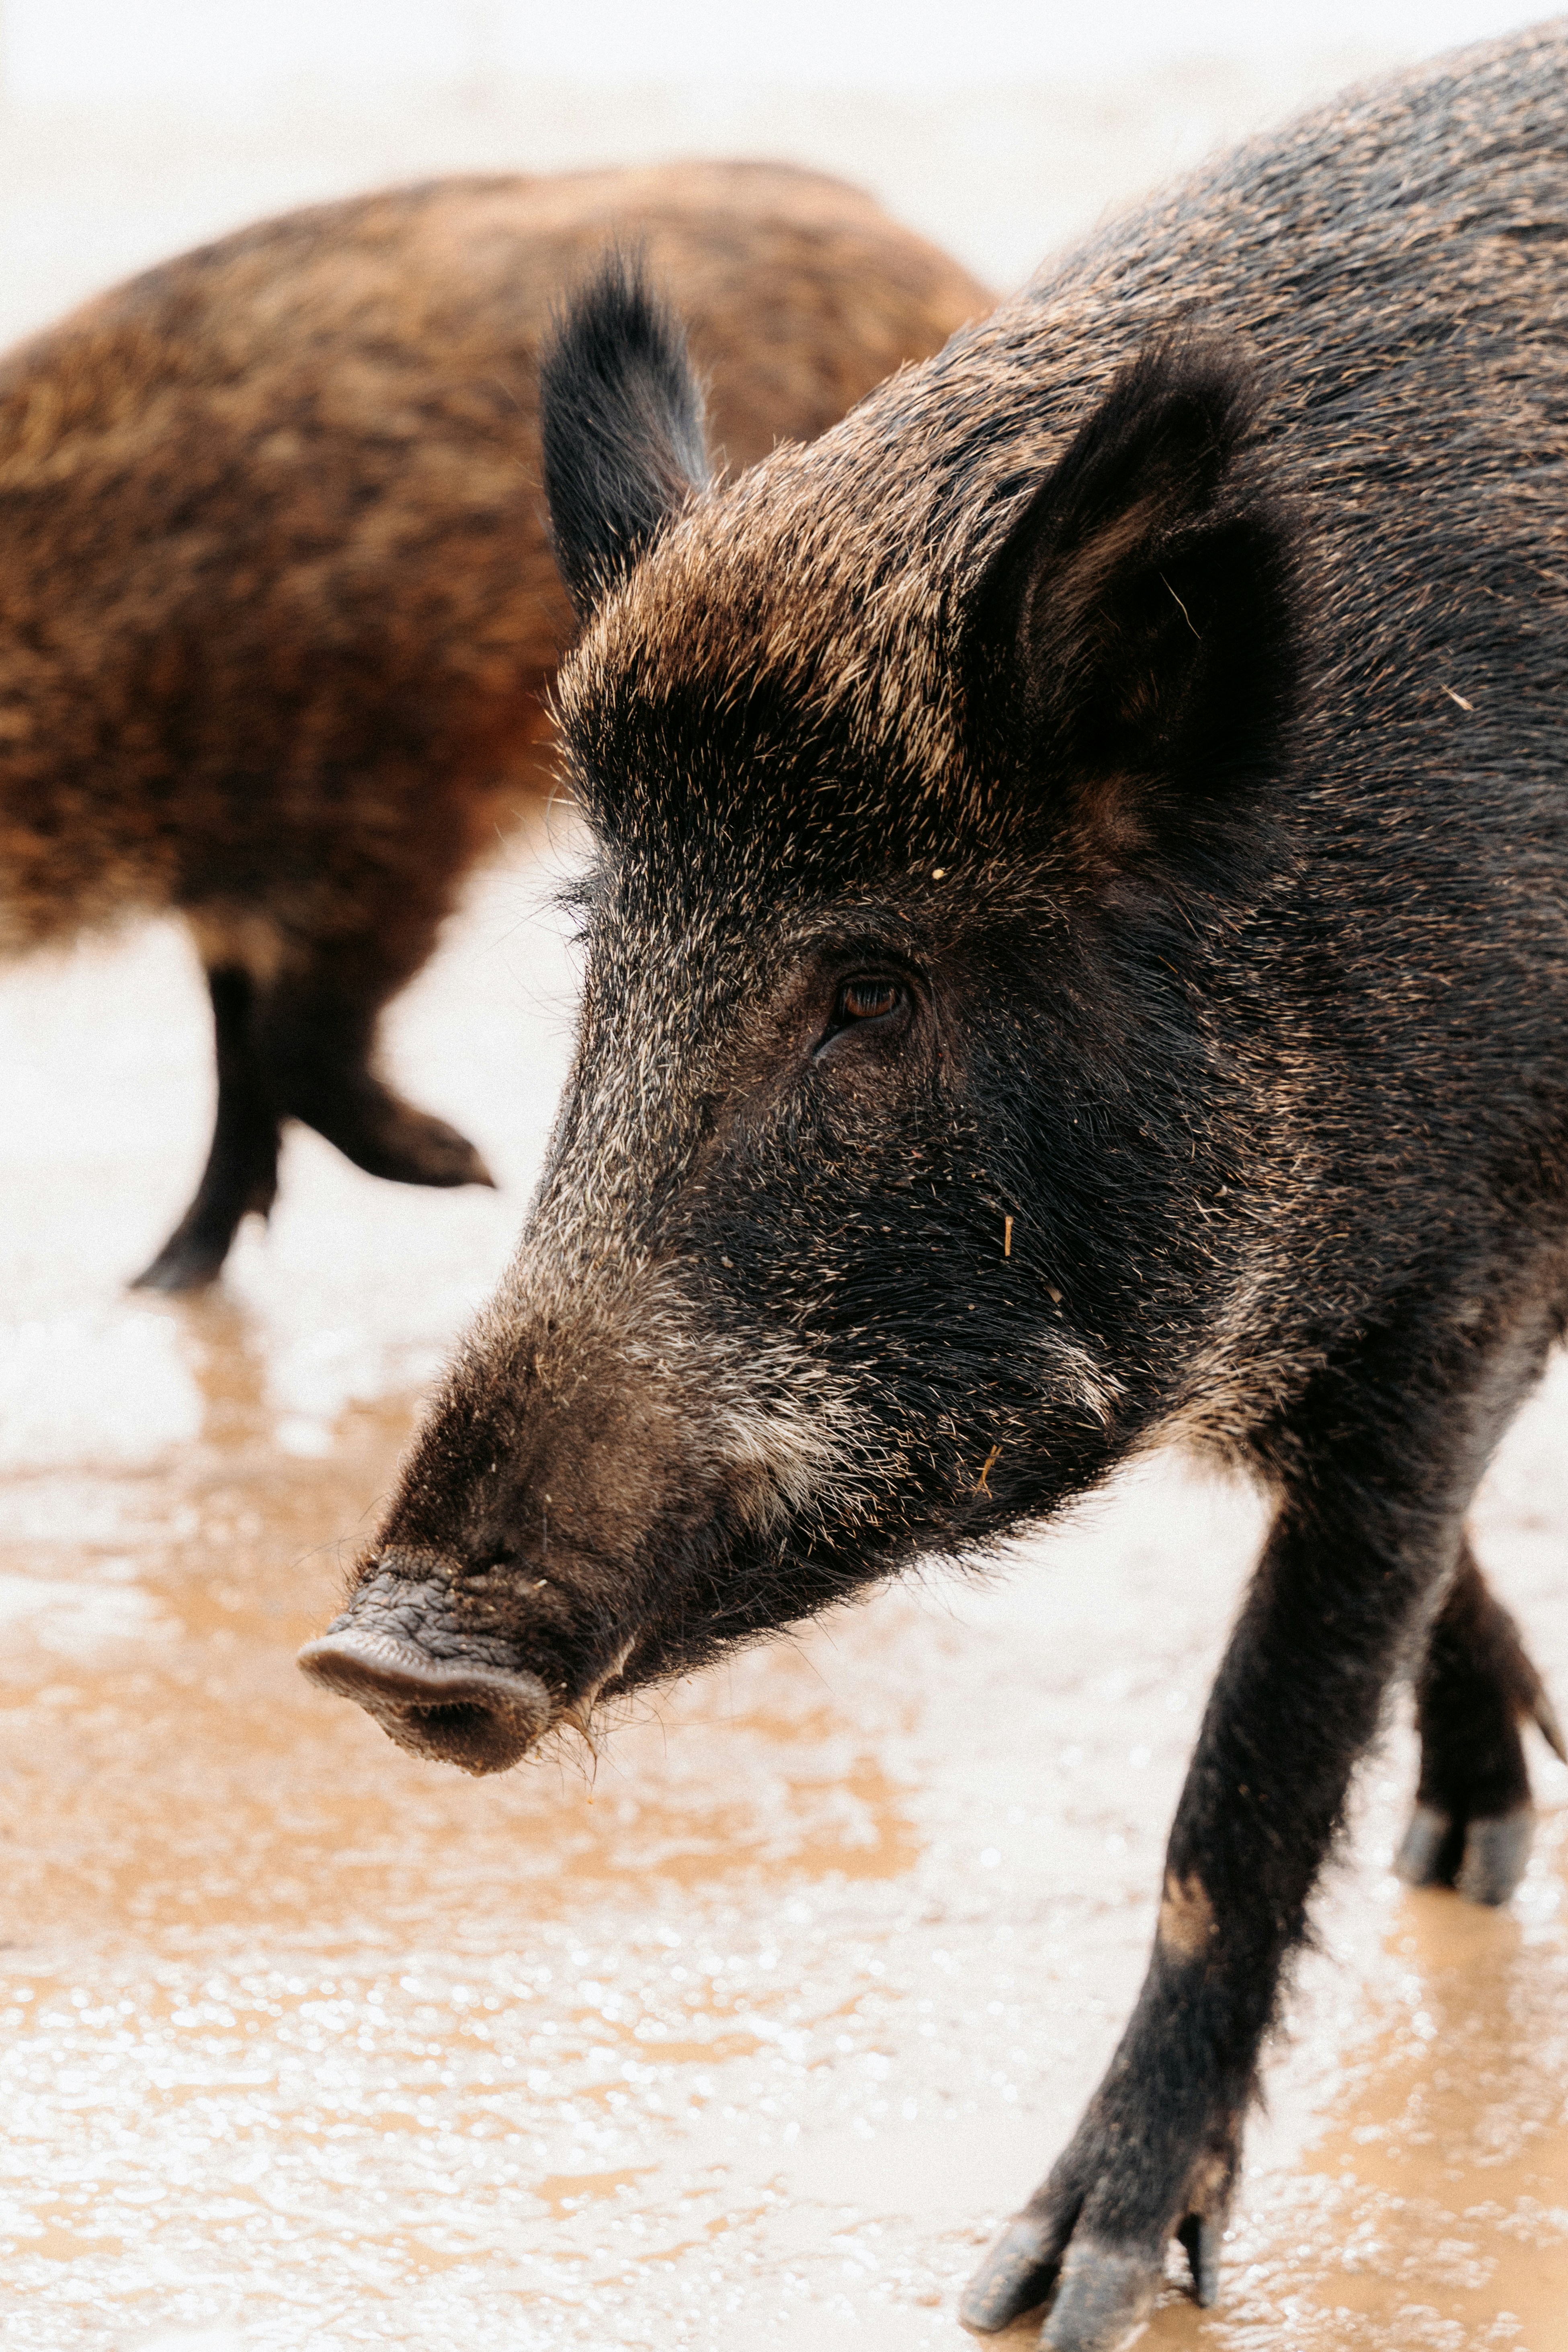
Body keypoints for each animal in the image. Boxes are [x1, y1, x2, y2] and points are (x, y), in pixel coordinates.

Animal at [299, 26, 1568, 2351]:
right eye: (601, 935)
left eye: (871, 982)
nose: (377, 1648)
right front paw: (1472, 1829)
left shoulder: (1460, 1267)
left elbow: (1251, 1758)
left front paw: (1043, 2289)